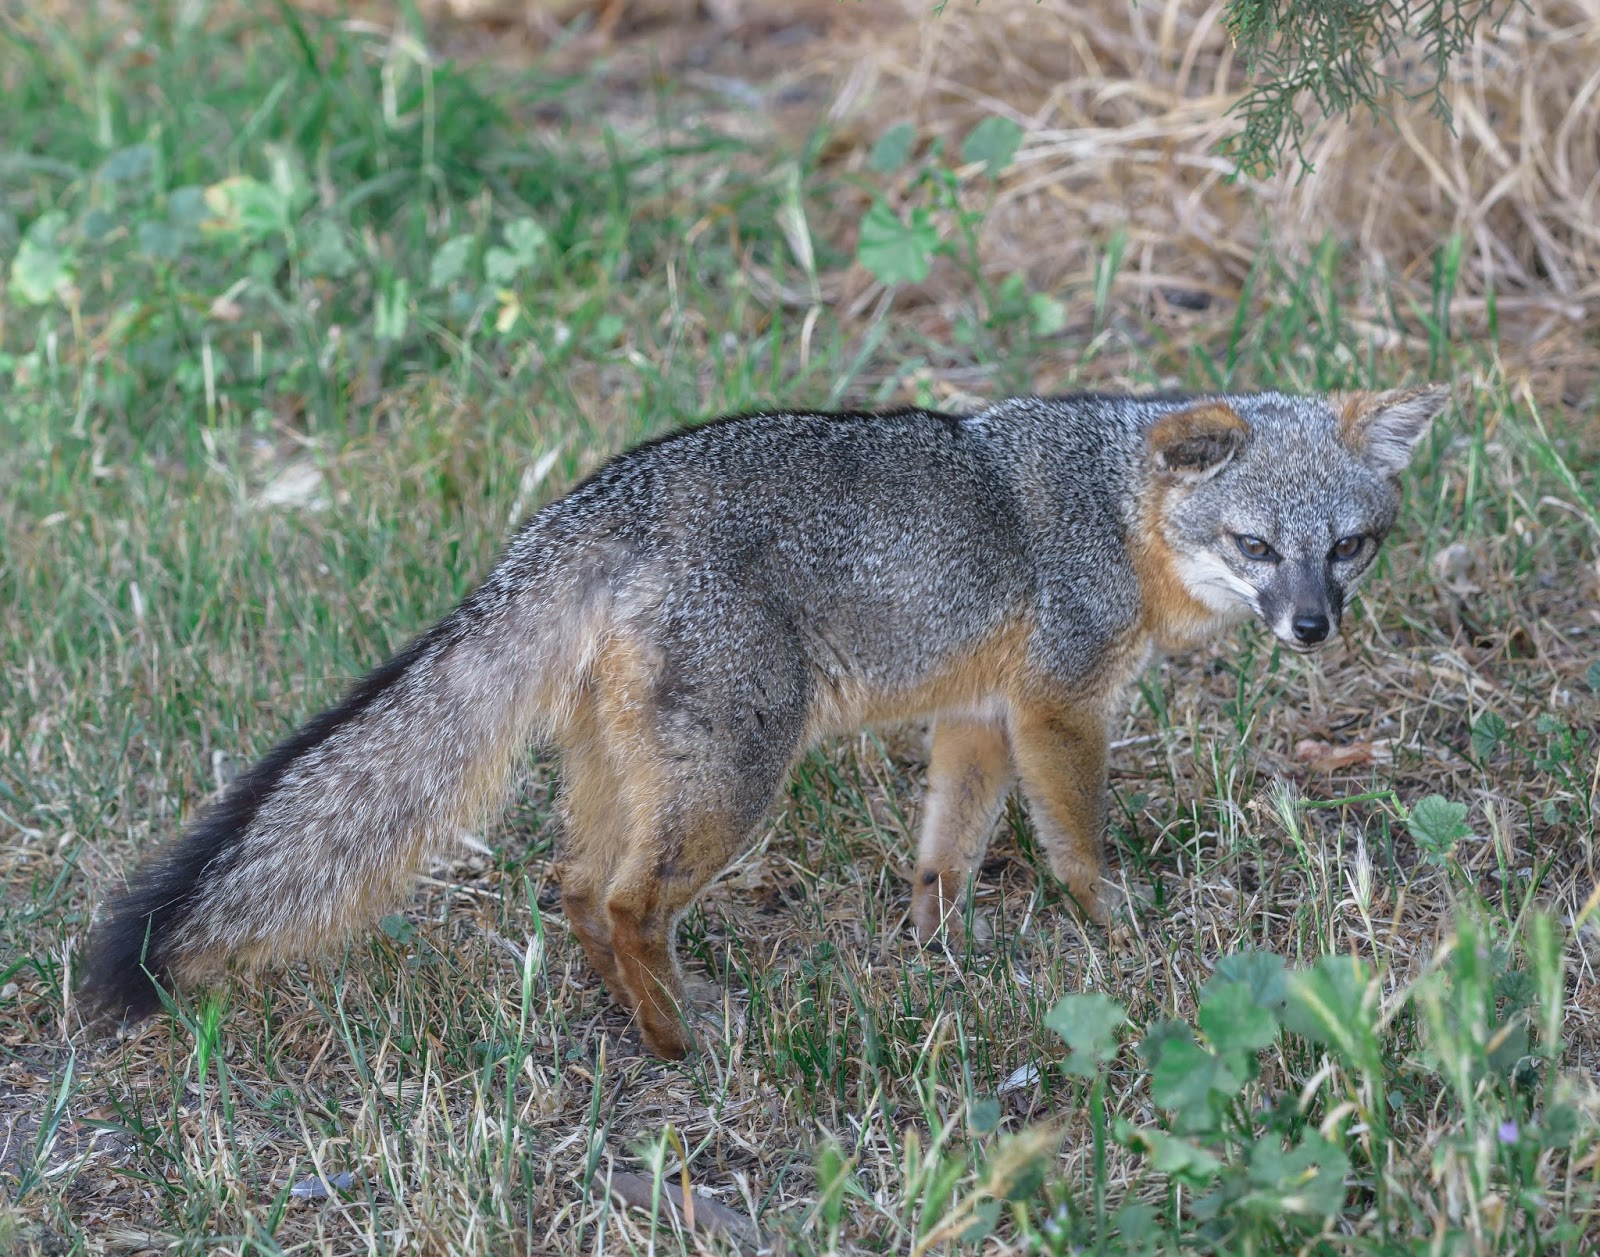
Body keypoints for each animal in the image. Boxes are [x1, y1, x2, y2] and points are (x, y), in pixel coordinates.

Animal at [80, 386, 1447, 1059]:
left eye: (1349, 547)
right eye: (1255, 546)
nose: (1311, 627)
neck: (1115, 504)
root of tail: (581, 511)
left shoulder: (975, 719)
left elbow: (946, 851)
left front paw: (932, 948)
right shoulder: (1058, 706)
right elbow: (1076, 845)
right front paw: (1124, 931)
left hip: (639, 767)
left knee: (575, 888)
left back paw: (649, 1027)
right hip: (739, 778)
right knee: (626, 900)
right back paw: (682, 1041)